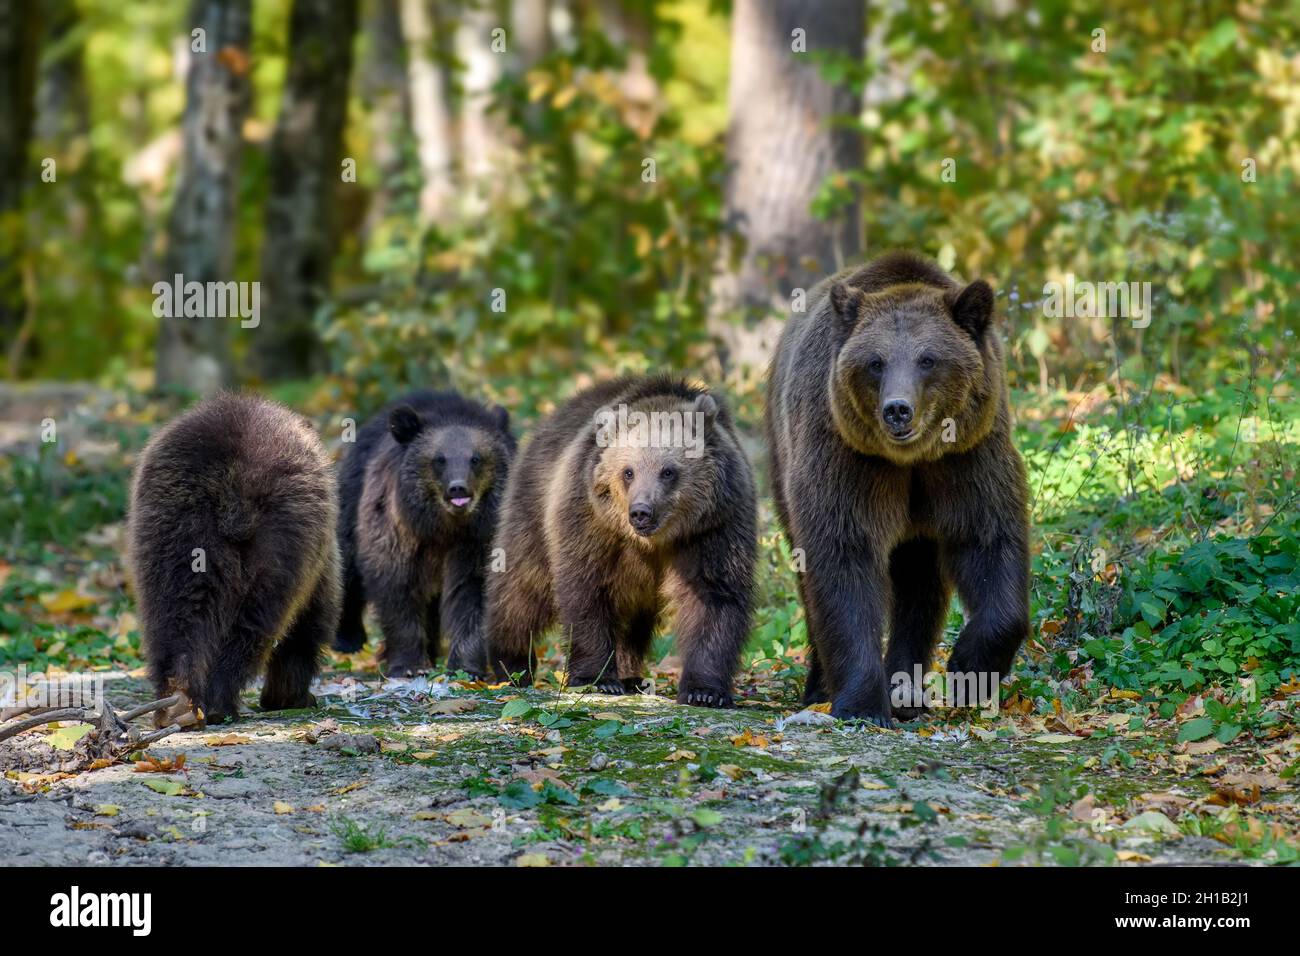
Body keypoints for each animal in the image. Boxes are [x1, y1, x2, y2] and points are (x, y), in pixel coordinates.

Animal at [127, 392, 341, 727]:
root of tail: (235, 486)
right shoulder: (321, 563)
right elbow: (310, 623)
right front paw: (291, 695)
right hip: (284, 534)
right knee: (254, 622)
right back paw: (219, 701)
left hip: (175, 528)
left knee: (175, 612)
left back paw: (177, 702)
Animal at [334, 390, 515, 677]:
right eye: (439, 459)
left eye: (475, 458)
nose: (458, 488)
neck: (443, 527)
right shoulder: (399, 531)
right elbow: (397, 586)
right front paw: (408, 664)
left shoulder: (478, 538)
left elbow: (472, 592)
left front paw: (466, 667)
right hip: (351, 500)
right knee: (347, 564)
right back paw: (347, 638)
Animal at [485, 375, 757, 707]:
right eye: (628, 471)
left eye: (668, 471)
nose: (641, 512)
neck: (655, 542)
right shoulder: (592, 521)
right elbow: (586, 588)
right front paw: (598, 679)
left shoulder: (714, 527)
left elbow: (714, 593)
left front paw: (704, 691)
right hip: (532, 507)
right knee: (523, 587)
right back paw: (510, 664)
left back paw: (631, 676)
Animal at [766, 250, 1030, 726]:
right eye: (876, 362)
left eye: (928, 358)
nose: (897, 410)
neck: (910, 460)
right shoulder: (847, 456)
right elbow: (843, 553)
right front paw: (861, 704)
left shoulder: (966, 457)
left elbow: (989, 538)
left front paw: (968, 667)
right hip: (782, 455)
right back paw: (821, 687)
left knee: (919, 585)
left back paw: (907, 693)